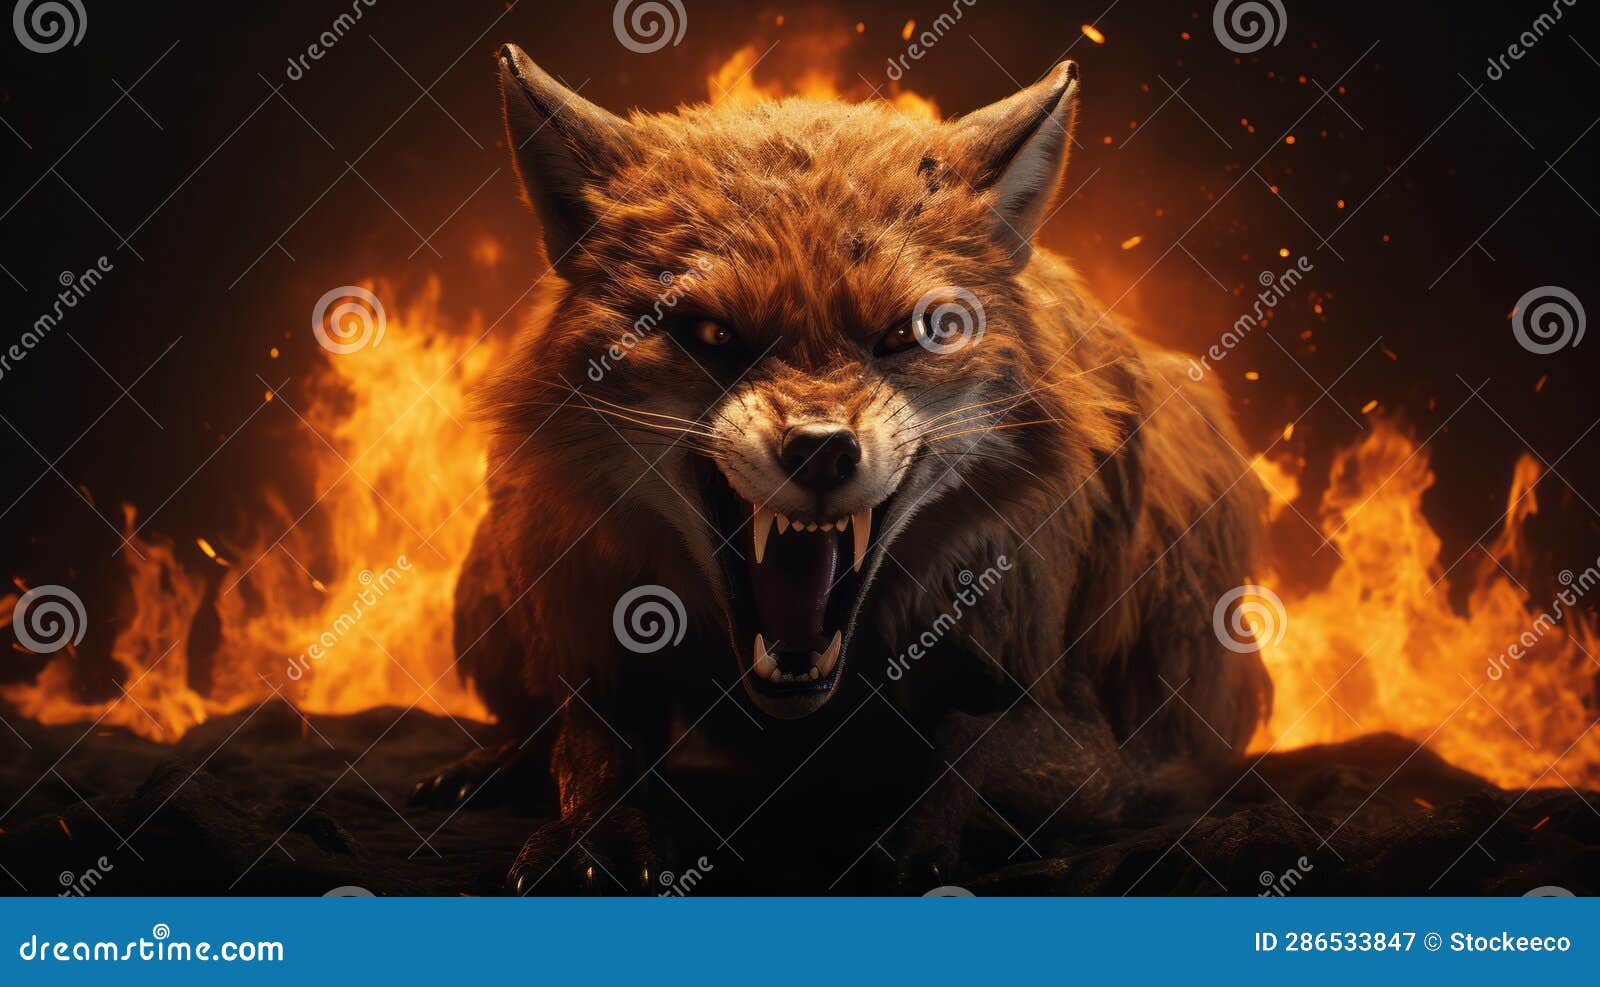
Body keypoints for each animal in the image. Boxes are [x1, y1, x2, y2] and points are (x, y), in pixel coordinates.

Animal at [412, 42, 1272, 894]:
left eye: (910, 334)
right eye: (713, 333)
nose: (821, 445)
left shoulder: (1115, 750)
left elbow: (969, 740)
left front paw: (928, 834)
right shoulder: (604, 643)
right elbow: (593, 741)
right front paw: (596, 826)